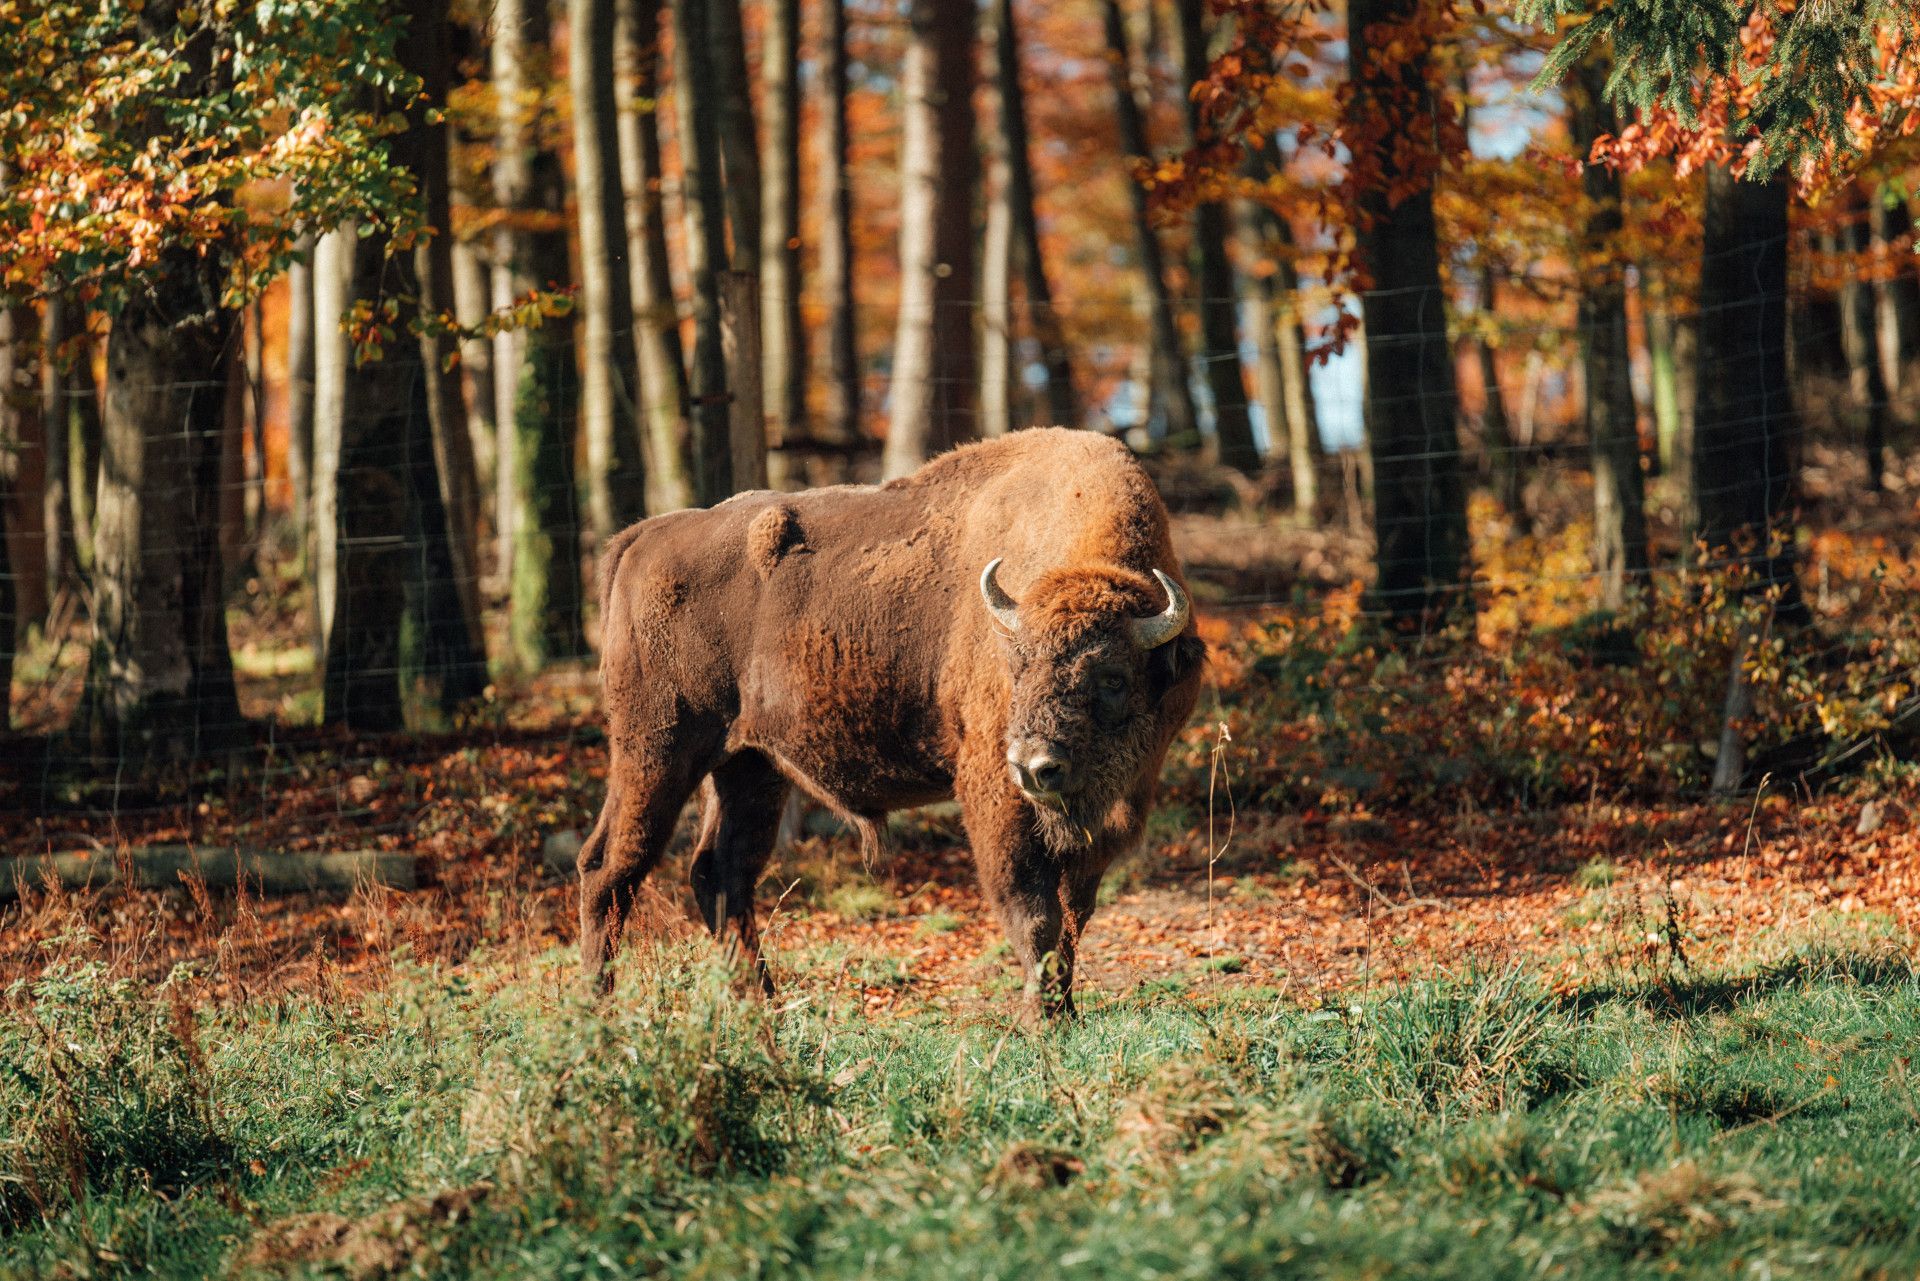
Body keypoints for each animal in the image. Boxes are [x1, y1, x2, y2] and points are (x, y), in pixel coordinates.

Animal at [576, 430, 1198, 1021]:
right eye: (1017, 664)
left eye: (1113, 676)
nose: (1034, 766)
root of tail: (643, 537)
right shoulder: (996, 800)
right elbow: (1034, 913)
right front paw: (1039, 1019)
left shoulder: (1110, 815)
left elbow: (1073, 915)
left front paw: (1063, 1013)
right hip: (656, 751)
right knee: (609, 869)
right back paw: (599, 1010)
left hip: (748, 766)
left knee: (720, 875)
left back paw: (762, 1007)